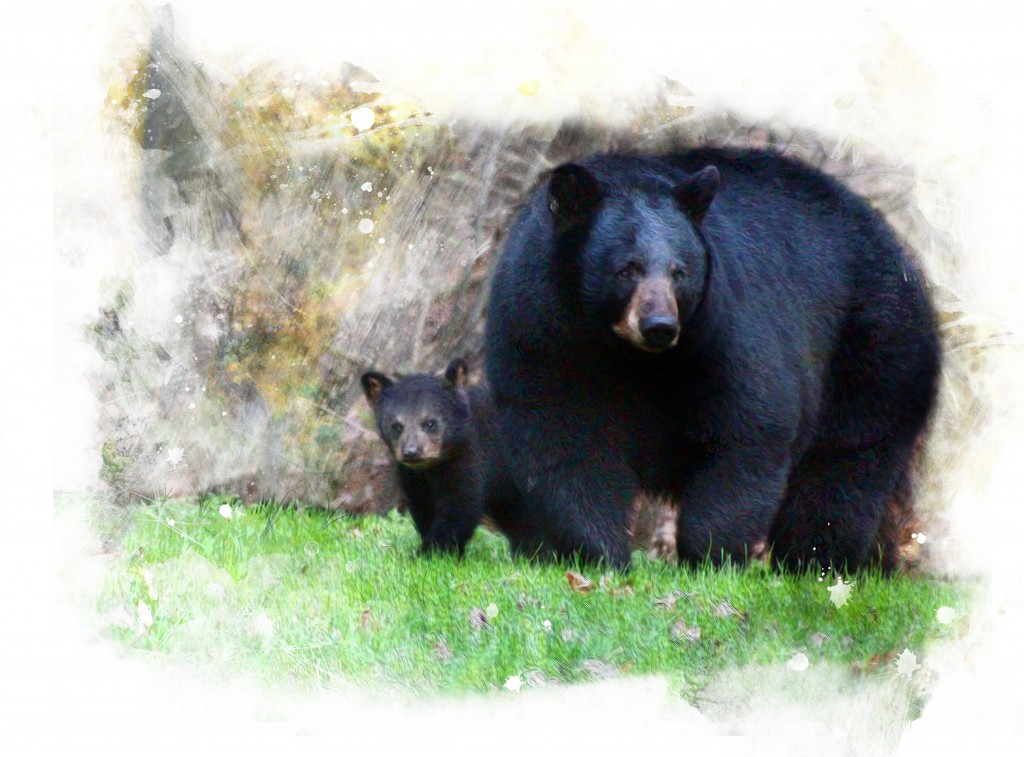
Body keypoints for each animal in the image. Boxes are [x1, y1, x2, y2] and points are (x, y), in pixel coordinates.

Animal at [361, 357, 534, 558]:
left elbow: (460, 506)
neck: (432, 469)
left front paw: (431, 553)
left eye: (430, 423)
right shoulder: (414, 479)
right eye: (396, 426)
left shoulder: (472, 456)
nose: (411, 452)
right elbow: (424, 509)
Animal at [484, 147, 940, 573]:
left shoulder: (723, 330)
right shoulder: (545, 331)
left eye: (679, 272)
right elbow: (565, 437)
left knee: (845, 462)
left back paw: (817, 561)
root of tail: (897, 248)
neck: (632, 356)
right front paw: (598, 556)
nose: (660, 326)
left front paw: (709, 558)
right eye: (626, 269)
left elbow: (747, 427)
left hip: (875, 344)